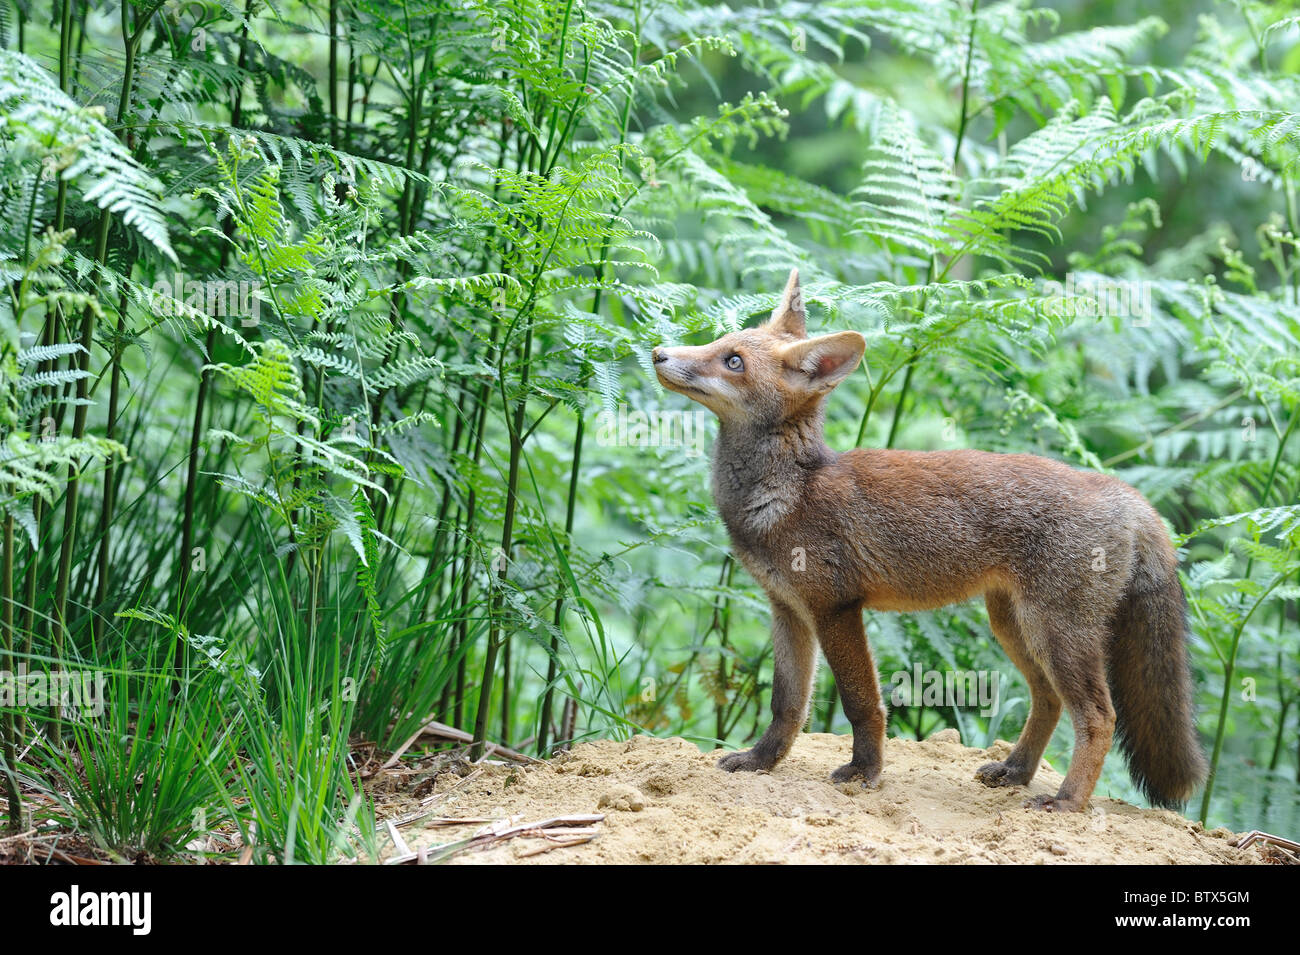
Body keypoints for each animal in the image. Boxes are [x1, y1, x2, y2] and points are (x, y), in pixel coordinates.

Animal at [651, 269, 1207, 812]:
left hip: (1058, 633)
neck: (788, 490)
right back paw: (1016, 772)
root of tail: (1124, 493)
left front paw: (865, 773)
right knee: (1047, 700)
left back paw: (1067, 801)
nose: (658, 353)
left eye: (733, 361)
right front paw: (761, 762)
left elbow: (861, 703)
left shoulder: (836, 608)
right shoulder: (787, 608)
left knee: (1097, 715)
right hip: (1014, 625)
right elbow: (787, 705)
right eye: (718, 342)